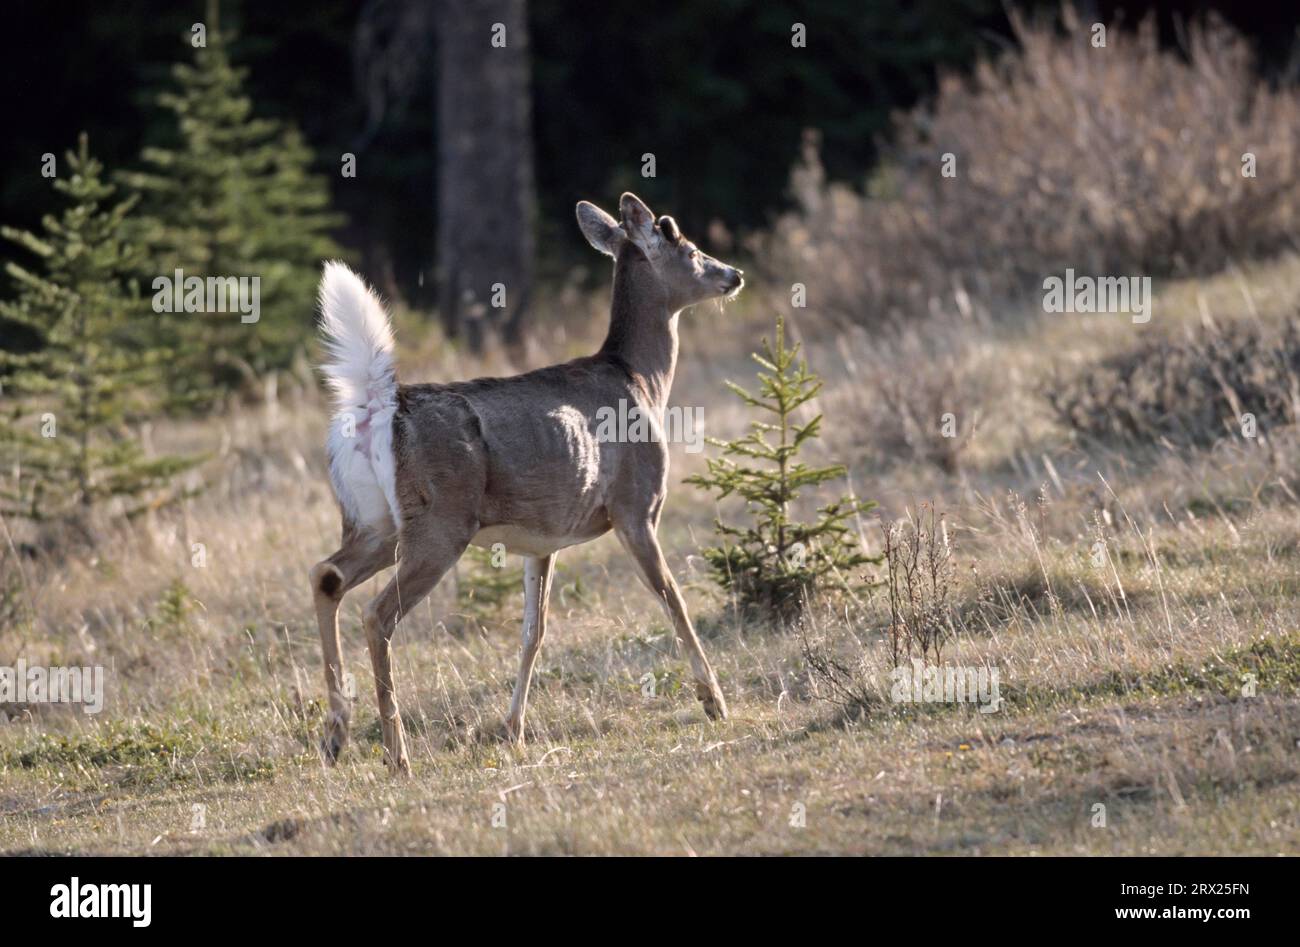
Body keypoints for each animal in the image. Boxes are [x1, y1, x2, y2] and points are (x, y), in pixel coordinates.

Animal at [310, 193, 744, 773]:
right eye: (691, 250)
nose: (734, 274)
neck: (643, 380)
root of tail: (378, 407)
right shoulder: (636, 506)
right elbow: (672, 597)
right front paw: (714, 701)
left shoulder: (544, 539)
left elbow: (533, 632)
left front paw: (512, 729)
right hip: (439, 524)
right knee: (377, 614)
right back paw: (396, 754)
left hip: (373, 522)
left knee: (326, 576)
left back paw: (336, 737)